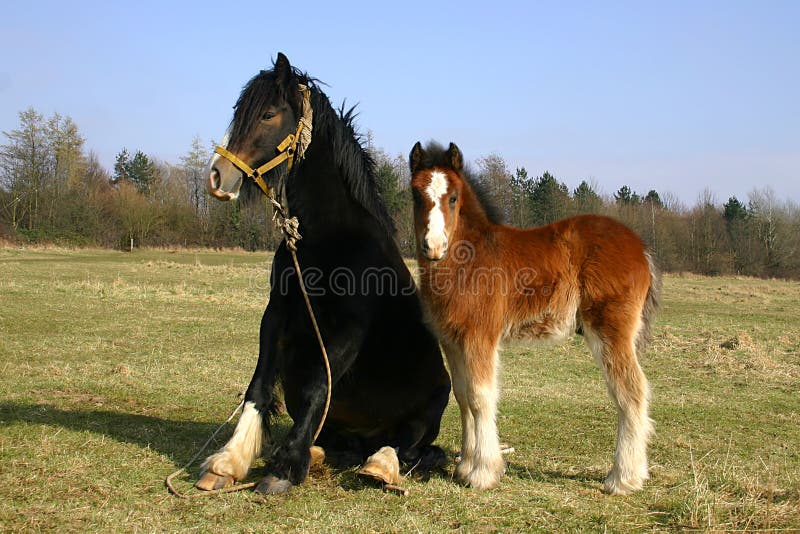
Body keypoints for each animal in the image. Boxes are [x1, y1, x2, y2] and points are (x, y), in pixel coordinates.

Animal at [198, 53, 450, 495]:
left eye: (268, 114)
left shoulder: (349, 330)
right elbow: (259, 384)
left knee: (410, 446)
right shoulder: (276, 313)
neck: (328, 236)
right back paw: (315, 452)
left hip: (436, 401)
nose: (217, 177)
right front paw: (231, 459)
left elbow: (319, 385)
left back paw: (379, 465)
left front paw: (283, 469)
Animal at [408, 141, 660, 495]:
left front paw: (483, 473)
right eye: (416, 195)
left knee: (631, 392)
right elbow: (462, 397)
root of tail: (640, 248)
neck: (468, 260)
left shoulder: (479, 336)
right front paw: (464, 467)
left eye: (453, 197)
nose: (432, 246)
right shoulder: (452, 340)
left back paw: (623, 479)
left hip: (611, 330)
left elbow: (480, 397)